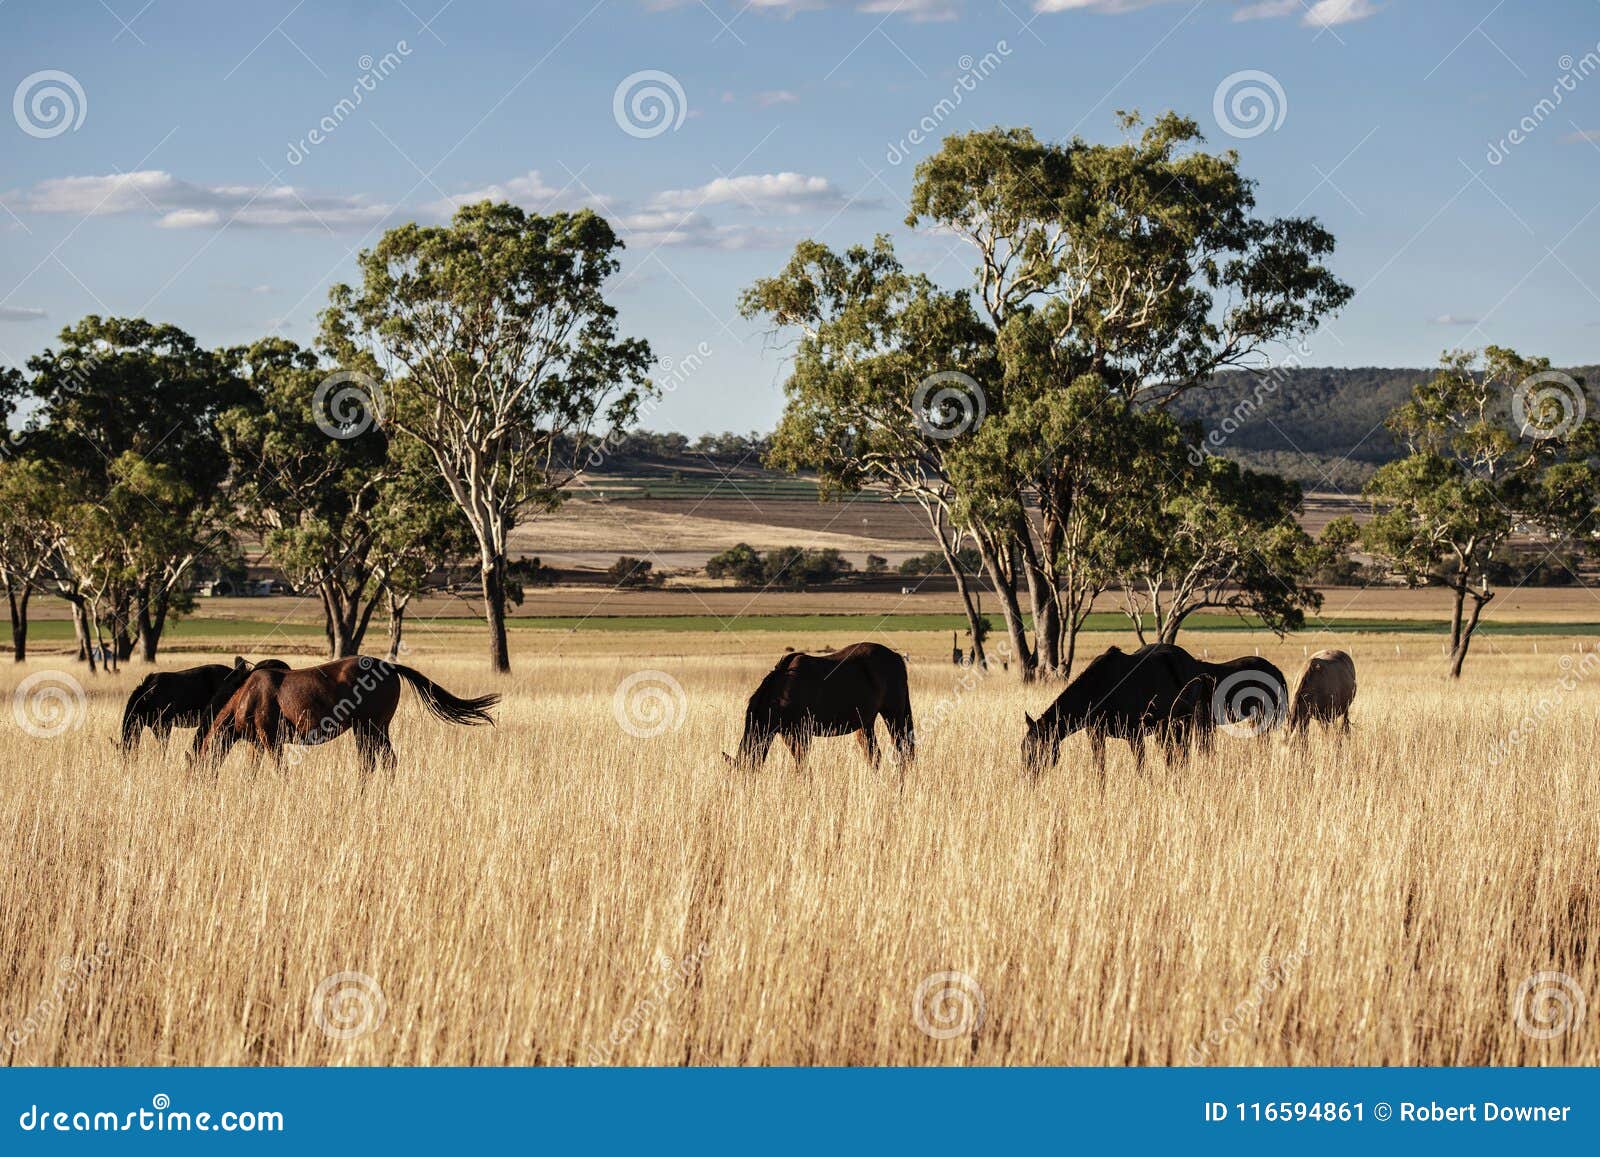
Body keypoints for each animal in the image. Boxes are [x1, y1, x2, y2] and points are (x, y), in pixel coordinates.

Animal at [195, 655, 499, 774]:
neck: (247, 695)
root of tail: (390, 666)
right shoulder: (259, 744)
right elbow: (253, 772)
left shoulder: (270, 740)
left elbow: (280, 770)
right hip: (375, 729)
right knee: (385, 762)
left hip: (368, 727)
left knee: (372, 763)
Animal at [723, 642, 914, 775]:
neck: (783, 689)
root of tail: (896, 657)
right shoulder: (788, 734)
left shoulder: (802, 734)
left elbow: (802, 766)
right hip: (866, 724)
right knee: (875, 757)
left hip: (894, 716)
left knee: (903, 753)